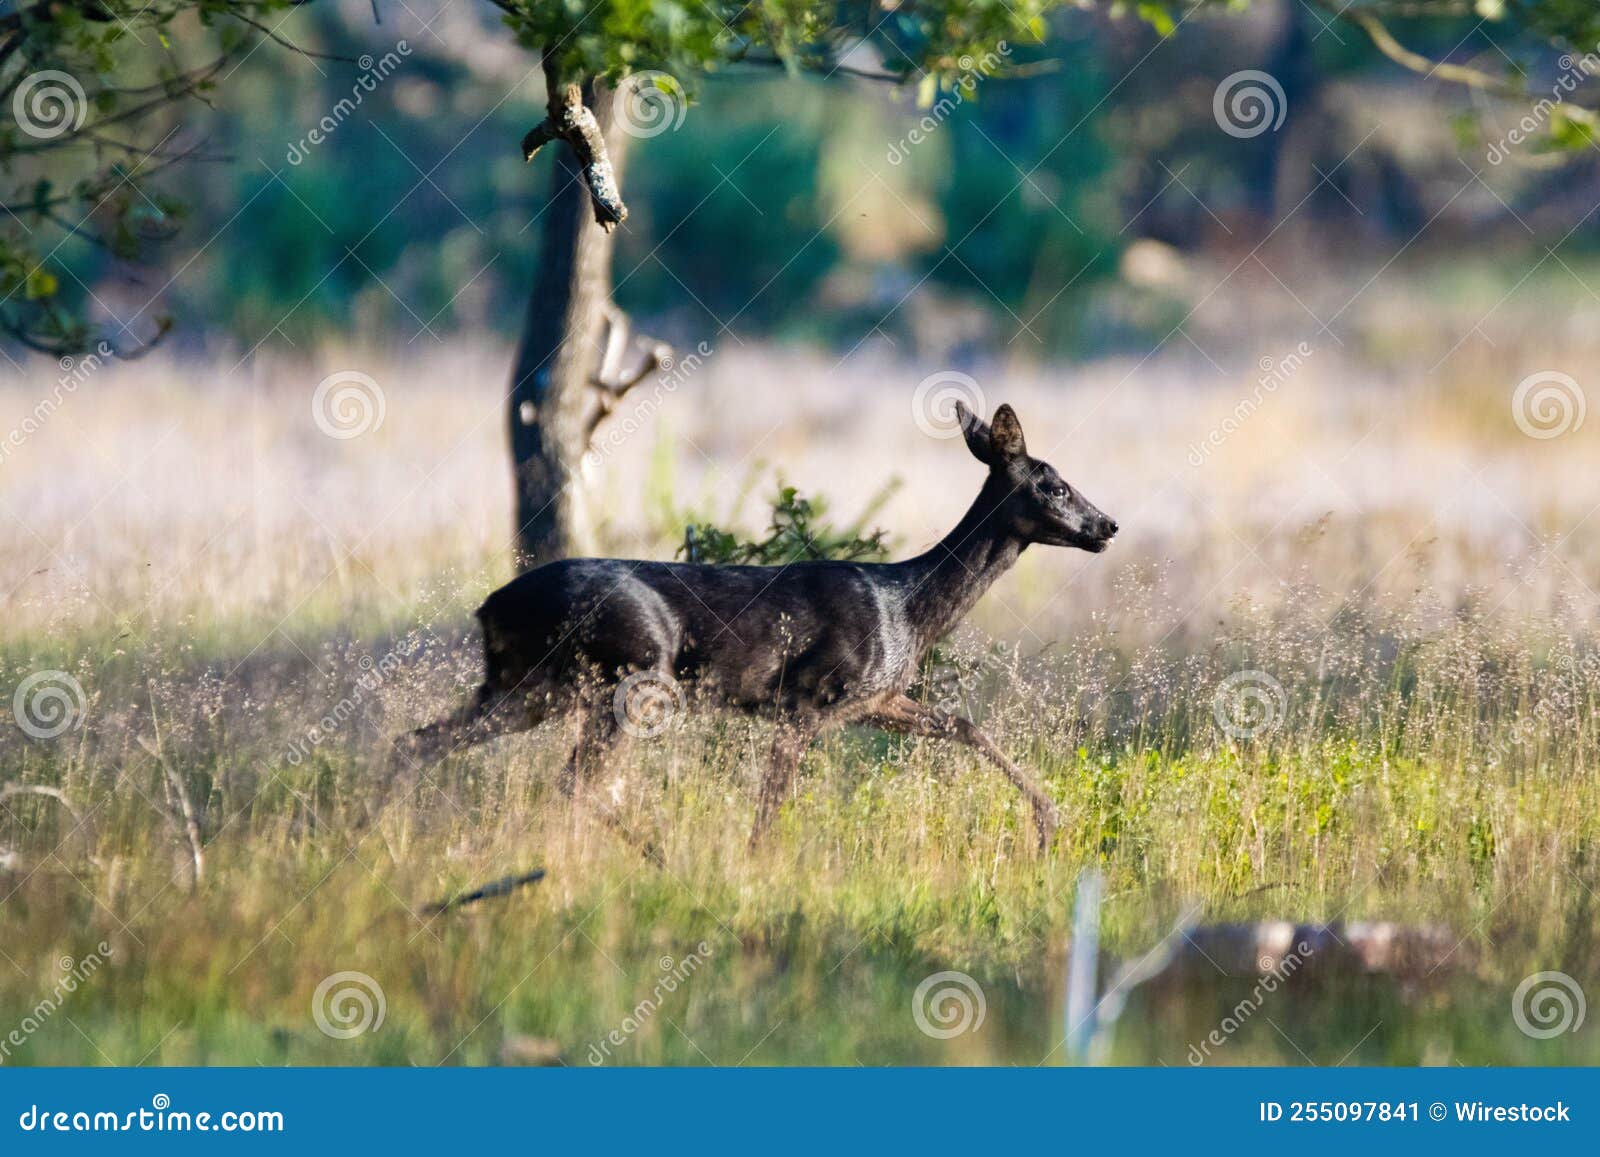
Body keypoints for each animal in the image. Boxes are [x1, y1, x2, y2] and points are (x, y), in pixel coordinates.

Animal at [395, 401, 1117, 852]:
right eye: (1053, 485)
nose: (1108, 524)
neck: (907, 610)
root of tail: (490, 607)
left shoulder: (877, 699)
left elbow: (966, 725)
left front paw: (1049, 820)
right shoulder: (807, 700)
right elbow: (772, 801)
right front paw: (754, 862)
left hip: (529, 685)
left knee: (419, 740)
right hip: (632, 674)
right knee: (572, 778)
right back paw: (656, 853)